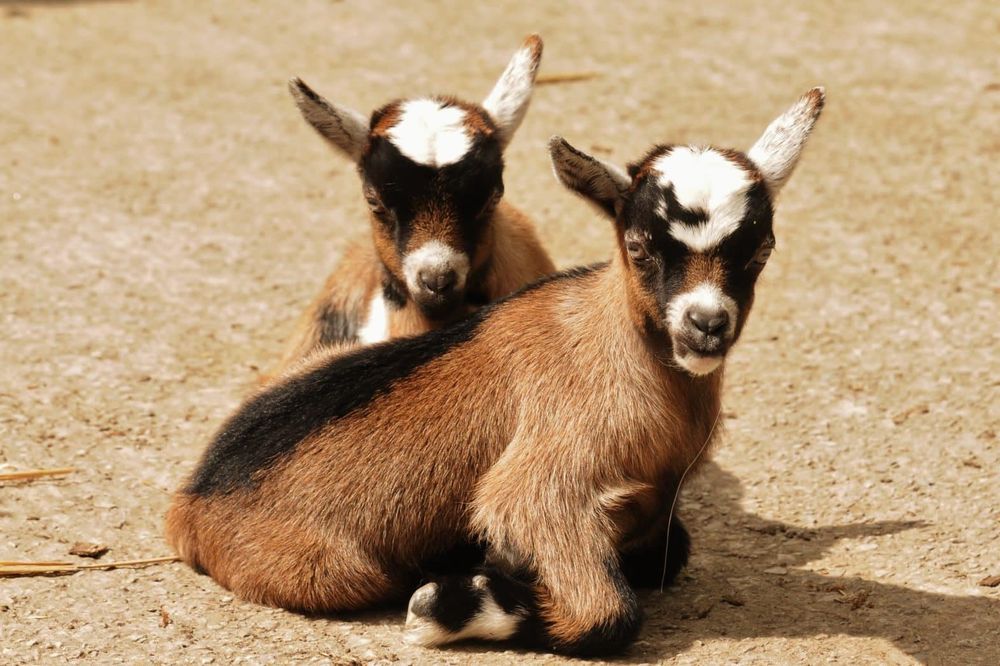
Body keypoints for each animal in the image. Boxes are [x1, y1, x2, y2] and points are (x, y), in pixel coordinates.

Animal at [165, 88, 825, 656]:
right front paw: (446, 604)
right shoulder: (541, 483)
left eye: (761, 250)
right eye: (638, 246)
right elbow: (608, 613)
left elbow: (664, 553)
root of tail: (192, 503)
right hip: (335, 569)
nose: (706, 324)